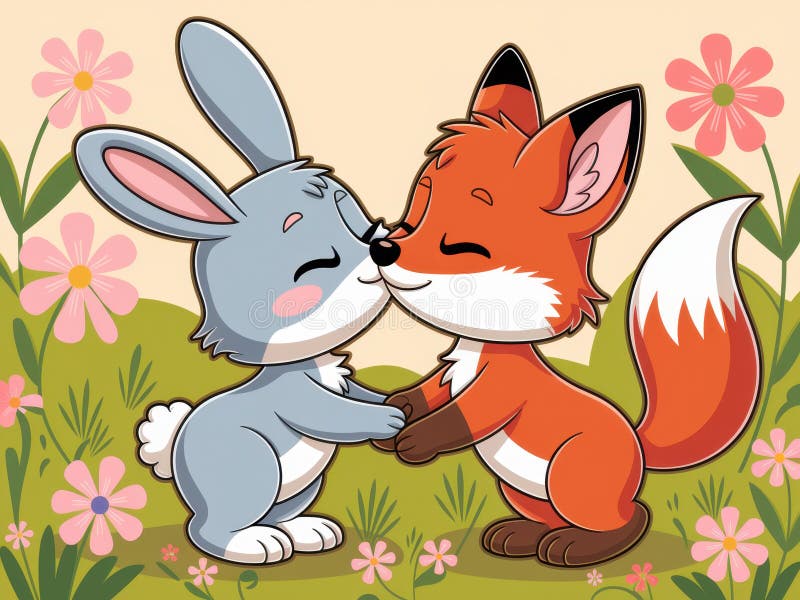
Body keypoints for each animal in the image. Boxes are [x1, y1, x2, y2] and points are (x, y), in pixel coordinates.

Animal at [73, 18, 404, 564]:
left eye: (358, 219)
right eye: (317, 265)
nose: (384, 249)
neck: (310, 360)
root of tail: (177, 449)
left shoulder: (340, 379)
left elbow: (356, 392)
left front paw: (392, 400)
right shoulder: (295, 396)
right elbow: (329, 414)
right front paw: (390, 420)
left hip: (296, 488)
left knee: (280, 515)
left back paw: (308, 533)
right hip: (252, 466)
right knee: (211, 530)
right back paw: (256, 545)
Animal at [370, 45, 761, 567]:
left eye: (460, 247)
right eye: (414, 216)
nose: (381, 249)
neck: (480, 349)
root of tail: (638, 446)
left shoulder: (501, 391)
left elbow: (460, 418)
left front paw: (413, 442)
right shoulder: (448, 375)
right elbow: (426, 392)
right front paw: (397, 408)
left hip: (570, 476)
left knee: (631, 519)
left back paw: (576, 548)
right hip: (524, 491)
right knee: (553, 519)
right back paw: (521, 537)